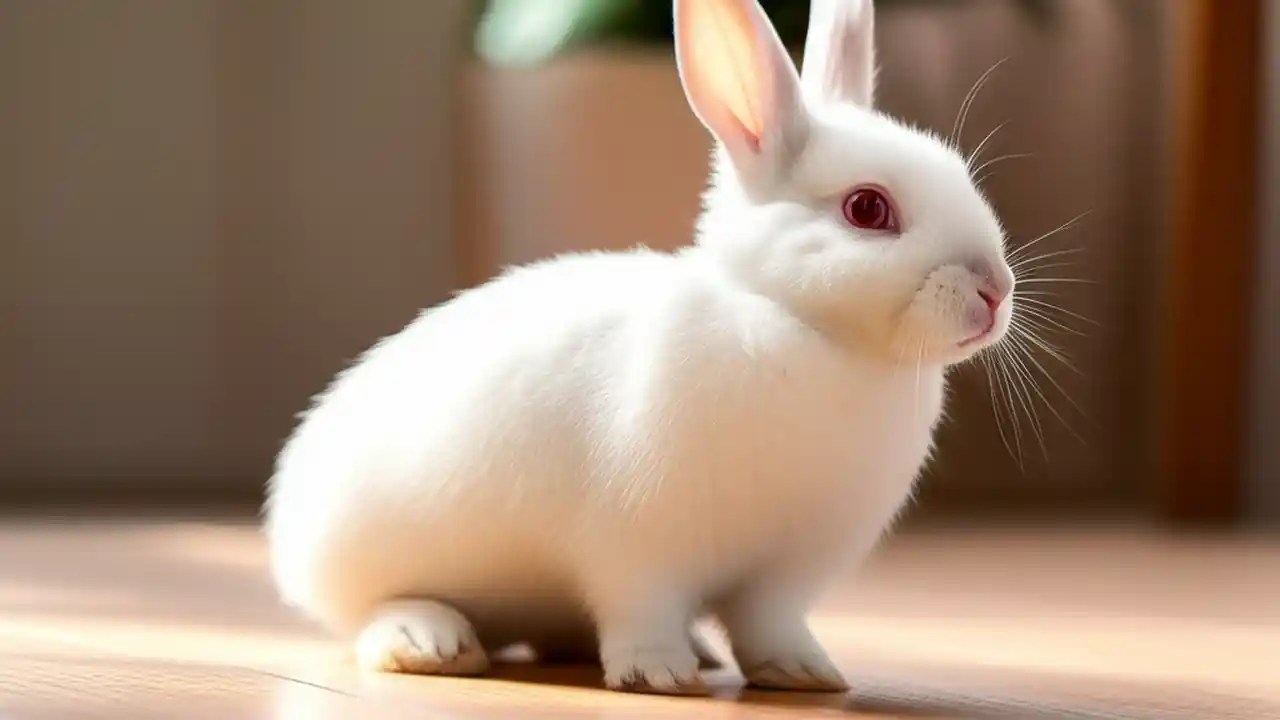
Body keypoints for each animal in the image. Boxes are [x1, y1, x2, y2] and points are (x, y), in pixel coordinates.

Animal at [265, 0, 1014, 697]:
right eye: (867, 209)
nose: (996, 289)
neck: (793, 322)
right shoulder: (637, 547)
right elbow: (640, 610)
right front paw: (659, 676)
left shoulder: (784, 572)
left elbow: (768, 625)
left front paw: (804, 672)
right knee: (376, 610)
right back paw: (432, 644)